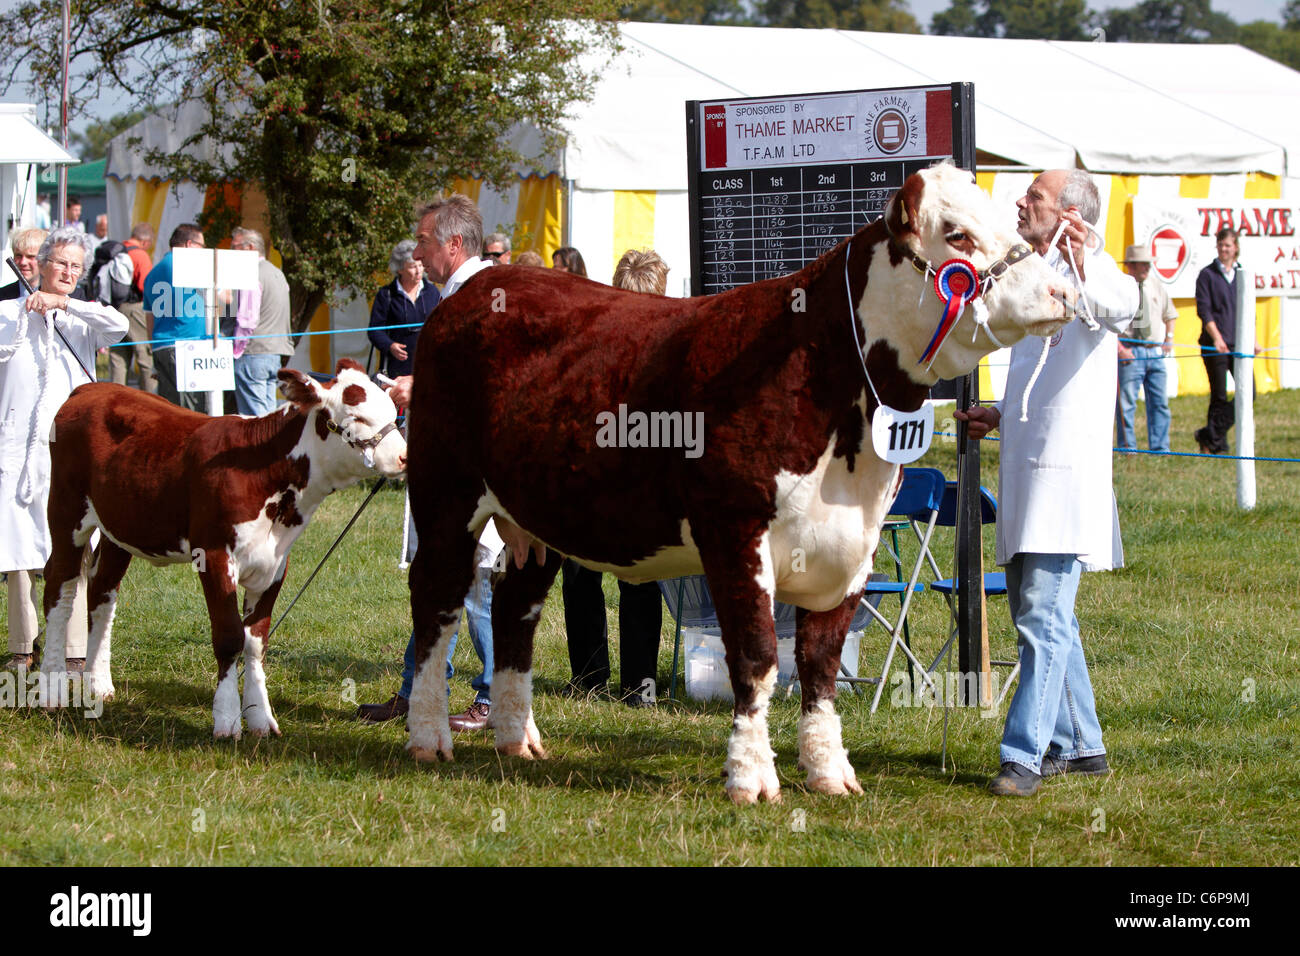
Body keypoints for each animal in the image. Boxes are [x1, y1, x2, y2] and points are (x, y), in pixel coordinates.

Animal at [38, 358, 407, 739]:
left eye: (392, 410)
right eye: (357, 416)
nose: (403, 456)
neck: (265, 470)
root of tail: (90, 389)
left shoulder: (277, 563)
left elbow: (255, 641)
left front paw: (260, 717)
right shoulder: (213, 554)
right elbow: (230, 637)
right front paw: (227, 720)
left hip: (119, 528)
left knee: (102, 593)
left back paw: (98, 684)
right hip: (66, 511)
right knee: (60, 588)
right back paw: (52, 690)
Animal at [403, 162, 1077, 802]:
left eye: (1012, 217)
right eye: (957, 234)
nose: (1061, 290)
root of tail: (478, 289)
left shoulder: (853, 547)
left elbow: (820, 666)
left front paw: (829, 772)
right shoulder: (734, 533)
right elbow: (757, 660)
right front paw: (752, 777)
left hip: (536, 516)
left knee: (515, 607)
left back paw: (518, 741)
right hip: (444, 495)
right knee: (435, 603)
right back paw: (429, 737)